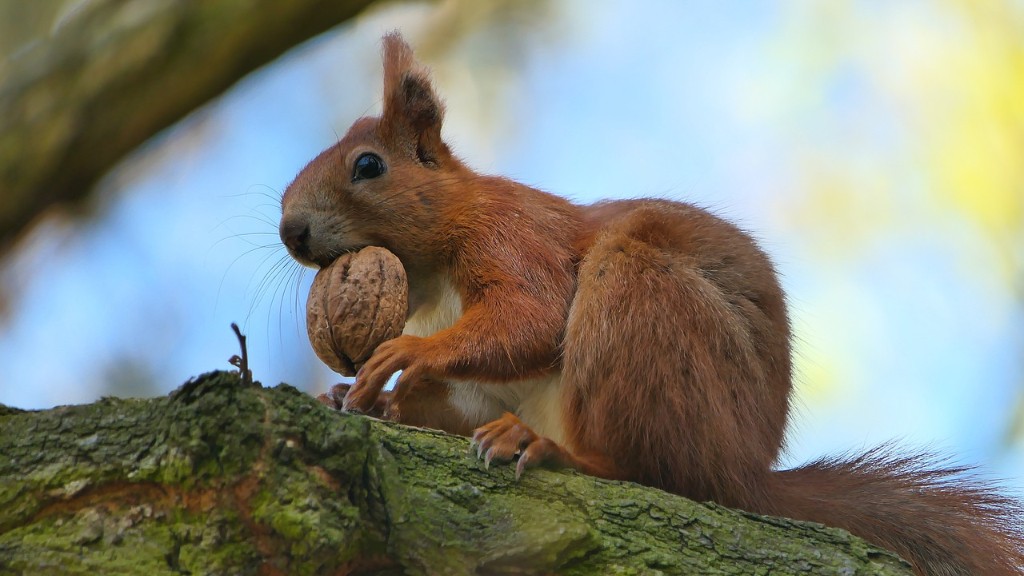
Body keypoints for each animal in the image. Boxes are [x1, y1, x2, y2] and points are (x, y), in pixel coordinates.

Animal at [280, 33, 1024, 569]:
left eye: (369, 166)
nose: (290, 231)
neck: (431, 277)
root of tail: (745, 475)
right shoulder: (472, 385)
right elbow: (458, 401)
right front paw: (364, 400)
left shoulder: (515, 237)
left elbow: (532, 318)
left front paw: (406, 354)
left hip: (639, 301)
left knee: (656, 473)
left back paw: (558, 452)